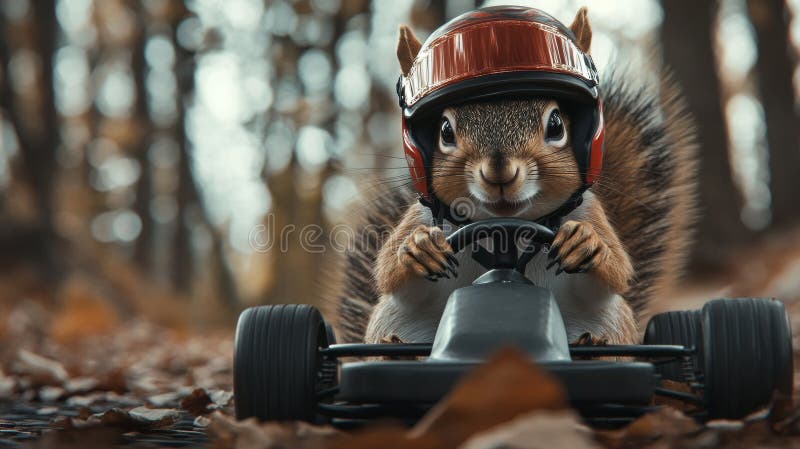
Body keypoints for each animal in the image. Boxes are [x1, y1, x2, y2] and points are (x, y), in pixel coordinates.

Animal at [327, 7, 697, 346]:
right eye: (445, 130)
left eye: (556, 125)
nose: (499, 173)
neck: (504, 231)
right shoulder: (419, 219)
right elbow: (389, 273)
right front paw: (418, 248)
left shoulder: (590, 213)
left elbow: (615, 271)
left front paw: (586, 243)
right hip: (391, 317)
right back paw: (392, 346)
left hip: (613, 319)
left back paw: (592, 341)